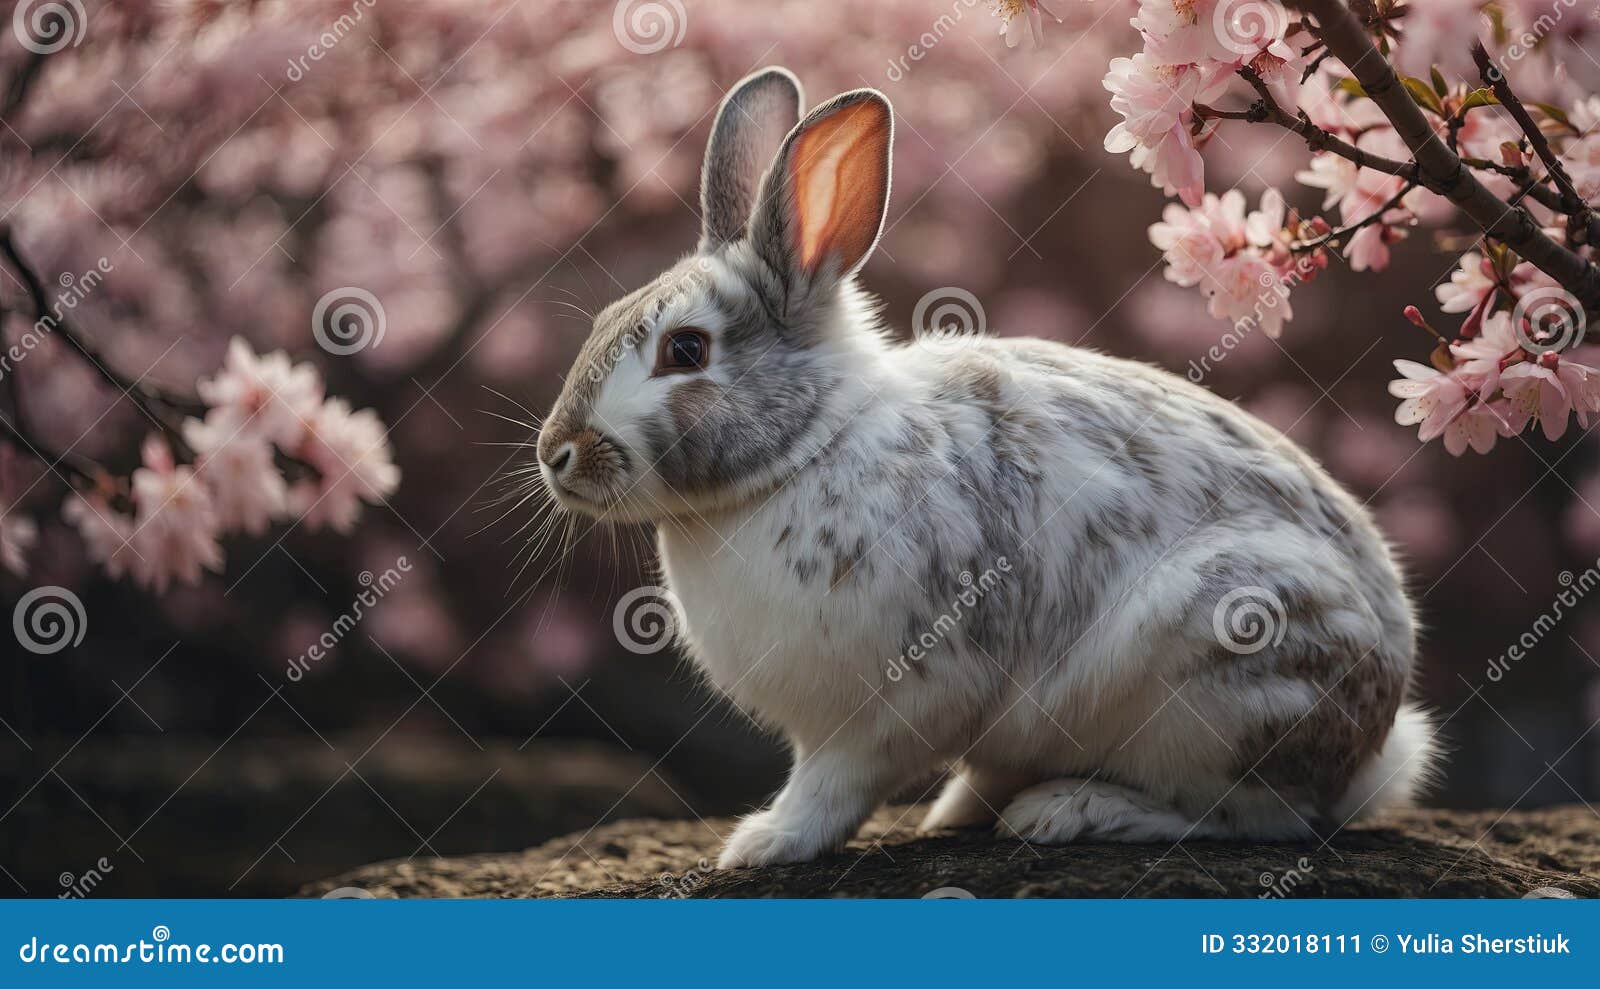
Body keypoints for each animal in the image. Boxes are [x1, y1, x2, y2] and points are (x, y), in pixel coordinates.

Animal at [535, 66, 1439, 869]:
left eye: (685, 351)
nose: (556, 454)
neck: (812, 445)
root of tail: (1369, 744)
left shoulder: (891, 703)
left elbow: (831, 785)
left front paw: (764, 843)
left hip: (1229, 661)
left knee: (1258, 815)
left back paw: (1073, 812)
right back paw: (974, 807)